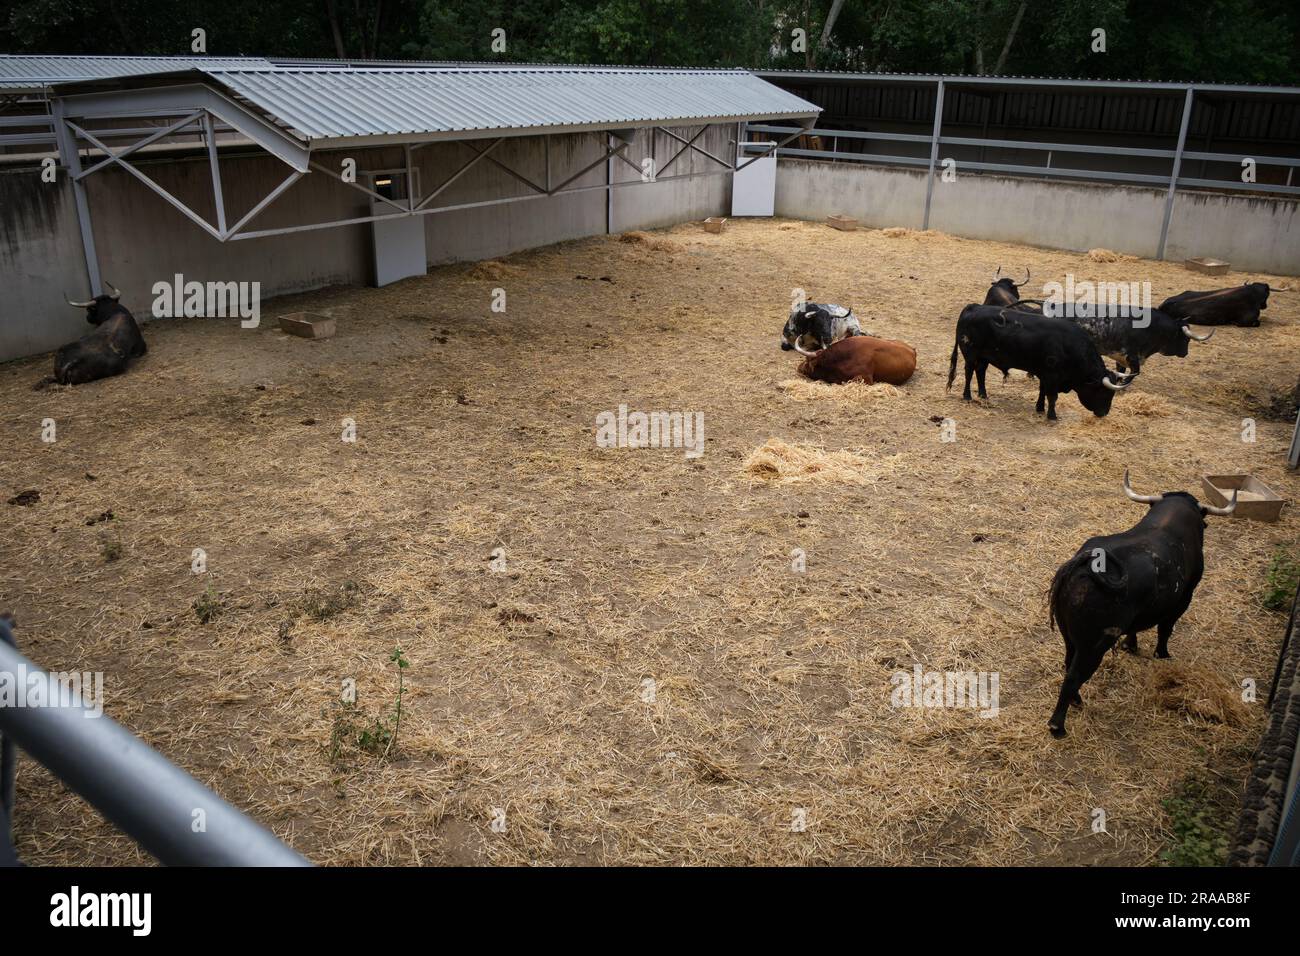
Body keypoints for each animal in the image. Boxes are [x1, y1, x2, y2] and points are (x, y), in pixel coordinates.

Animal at [946, 305, 1131, 420]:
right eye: (1104, 392)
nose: (1104, 413)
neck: (1070, 346)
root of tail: (974, 306)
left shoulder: (1044, 373)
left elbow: (1042, 391)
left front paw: (1040, 408)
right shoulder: (1052, 376)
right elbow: (1052, 396)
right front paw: (1052, 416)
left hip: (984, 357)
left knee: (981, 372)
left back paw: (983, 395)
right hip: (971, 354)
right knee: (969, 372)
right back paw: (967, 396)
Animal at [1046, 470, 1238, 738]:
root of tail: (1084, 565)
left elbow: (1137, 628)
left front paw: (1131, 645)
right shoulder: (1184, 598)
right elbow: (1165, 630)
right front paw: (1163, 655)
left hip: (1069, 635)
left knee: (1067, 664)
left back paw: (1077, 702)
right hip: (1093, 646)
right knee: (1074, 676)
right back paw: (1058, 725)